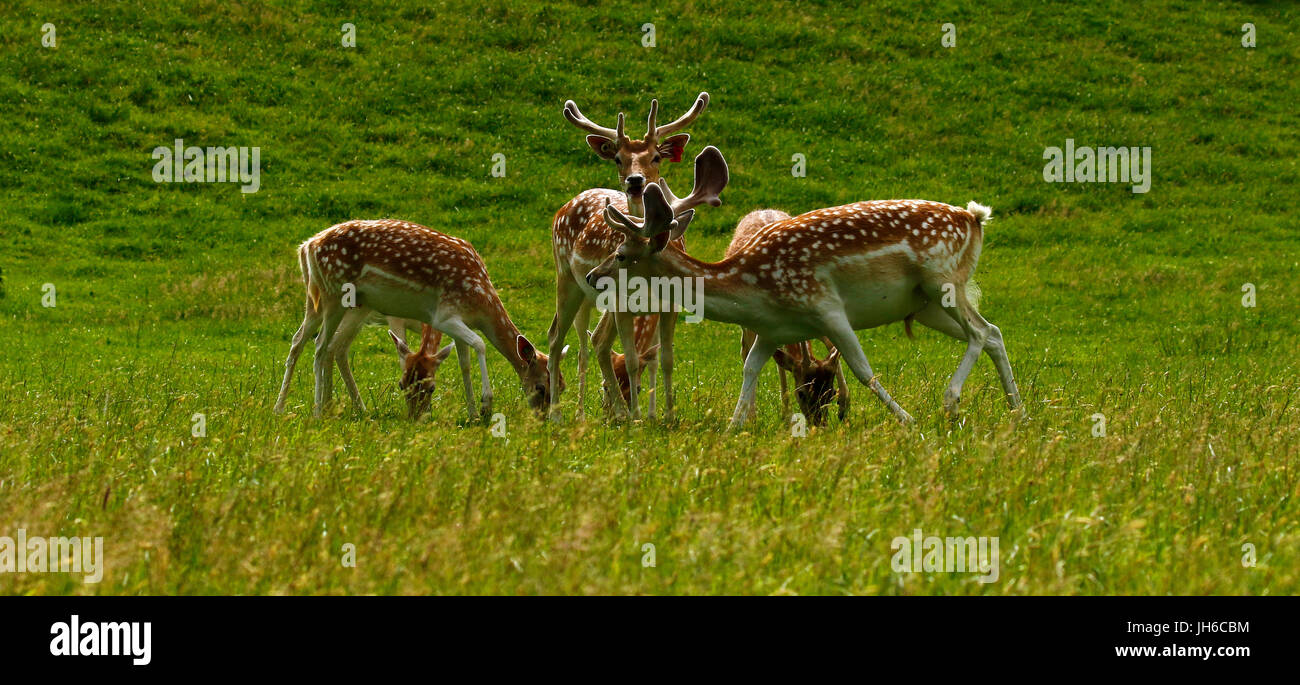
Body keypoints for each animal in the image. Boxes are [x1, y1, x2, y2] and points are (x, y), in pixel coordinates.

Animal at [274, 219, 565, 420]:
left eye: (562, 386)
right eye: (541, 387)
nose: (544, 419)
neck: (481, 298)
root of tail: (307, 245)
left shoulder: (459, 322)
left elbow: (464, 362)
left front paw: (472, 413)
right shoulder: (443, 316)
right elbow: (480, 344)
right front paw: (485, 405)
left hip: (330, 303)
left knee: (312, 342)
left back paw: (313, 407)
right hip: (332, 295)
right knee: (320, 345)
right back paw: (316, 411)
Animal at [548, 92, 710, 422]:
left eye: (656, 156)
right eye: (618, 158)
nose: (635, 181)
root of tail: (564, 207)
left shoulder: (670, 305)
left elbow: (665, 358)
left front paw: (666, 415)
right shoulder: (621, 302)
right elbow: (633, 360)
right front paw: (636, 416)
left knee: (594, 341)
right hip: (566, 279)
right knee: (559, 338)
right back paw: (559, 414)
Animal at [729, 209, 850, 426]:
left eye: (830, 393)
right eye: (801, 393)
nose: (819, 425)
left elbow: (831, 345)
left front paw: (845, 404)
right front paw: (770, 415)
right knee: (746, 350)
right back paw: (757, 414)